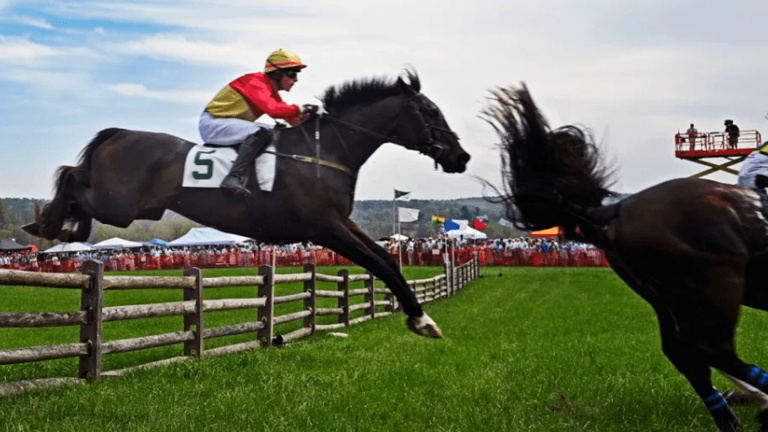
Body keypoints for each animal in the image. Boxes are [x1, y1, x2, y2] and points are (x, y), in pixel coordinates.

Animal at [24, 70, 470, 339]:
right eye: (430, 111)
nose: (461, 156)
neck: (324, 151)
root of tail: (118, 133)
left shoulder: (341, 223)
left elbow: (388, 259)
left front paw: (421, 316)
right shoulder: (324, 227)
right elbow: (377, 262)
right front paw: (421, 318)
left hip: (133, 207)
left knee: (76, 180)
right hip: (117, 205)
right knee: (73, 178)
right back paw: (51, 224)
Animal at [484, 84, 768, 432]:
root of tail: (612, 212)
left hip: (669, 296)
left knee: (687, 354)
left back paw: (732, 414)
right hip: (718, 279)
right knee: (713, 348)